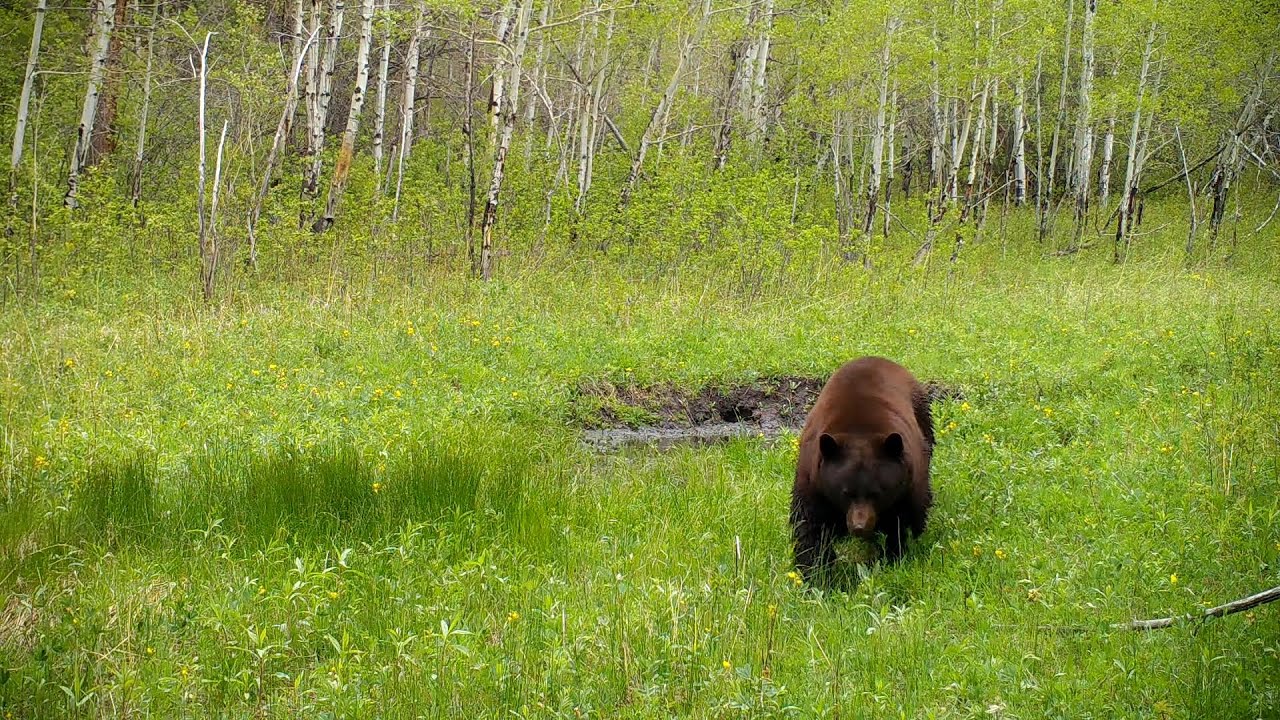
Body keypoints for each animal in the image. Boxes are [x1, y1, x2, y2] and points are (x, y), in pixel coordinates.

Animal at [790, 356, 935, 578]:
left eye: (877, 493)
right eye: (845, 493)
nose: (859, 527)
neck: (859, 433)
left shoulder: (909, 483)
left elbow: (905, 522)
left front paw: (893, 557)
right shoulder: (813, 480)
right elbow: (810, 525)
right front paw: (816, 573)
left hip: (922, 414)